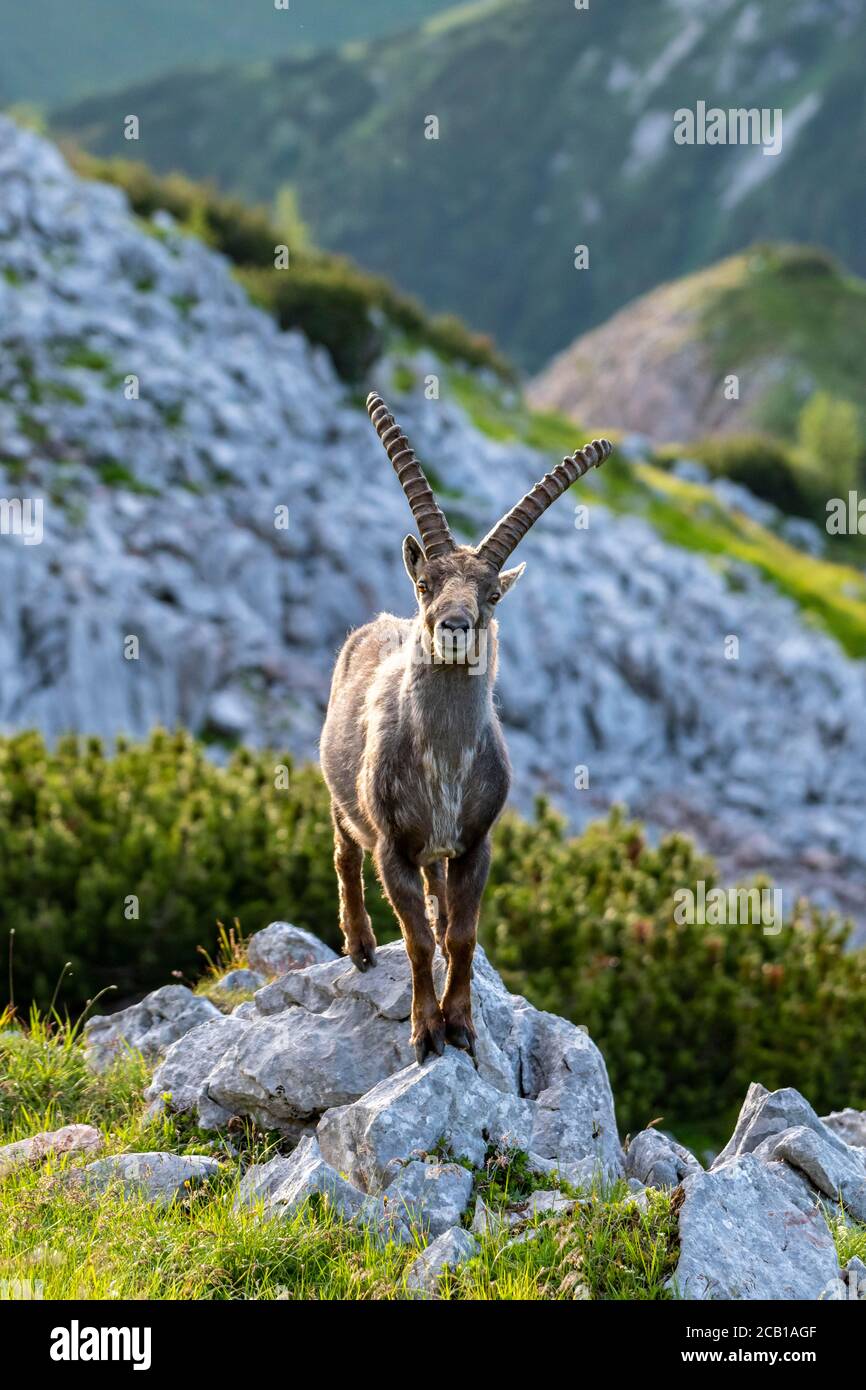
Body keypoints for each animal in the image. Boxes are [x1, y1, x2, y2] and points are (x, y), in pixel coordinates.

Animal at [320, 393, 611, 1062]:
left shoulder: (477, 844)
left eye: (492, 595)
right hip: (342, 800)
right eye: (427, 583)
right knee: (345, 855)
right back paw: (360, 945)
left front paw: (462, 1024)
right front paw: (426, 1032)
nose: (453, 625)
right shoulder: (393, 847)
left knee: (440, 900)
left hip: (439, 850)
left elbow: (462, 936)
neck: (447, 764)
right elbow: (420, 942)